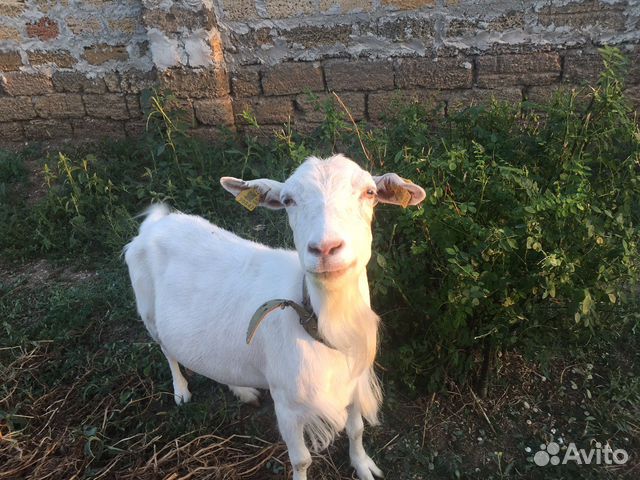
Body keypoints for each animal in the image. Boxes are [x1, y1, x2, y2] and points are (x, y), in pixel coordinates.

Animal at [124, 154, 426, 480]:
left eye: (369, 193)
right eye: (288, 200)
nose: (325, 248)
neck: (324, 329)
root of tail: (154, 224)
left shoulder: (354, 381)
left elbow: (356, 429)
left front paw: (363, 465)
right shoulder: (287, 403)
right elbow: (301, 459)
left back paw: (241, 389)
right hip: (148, 311)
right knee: (167, 350)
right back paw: (181, 391)